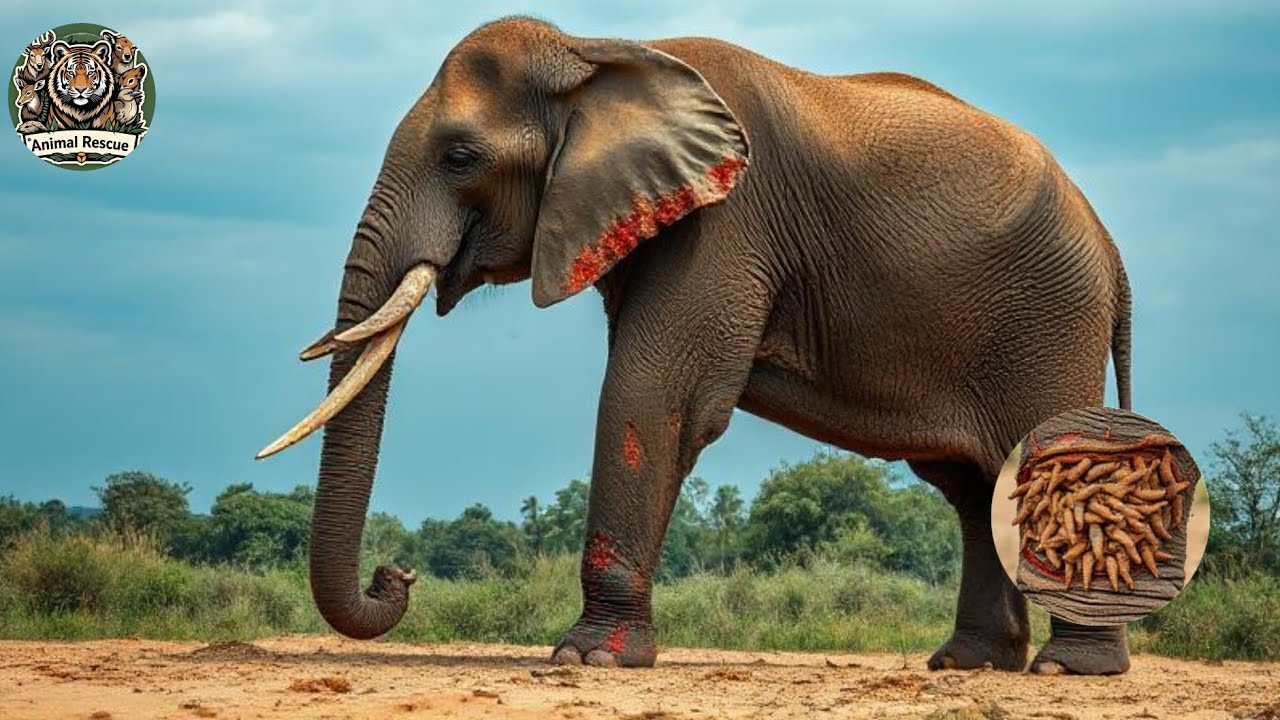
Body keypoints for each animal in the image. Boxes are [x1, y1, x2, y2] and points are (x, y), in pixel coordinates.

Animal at [259, 17, 1133, 674]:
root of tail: (1111, 246)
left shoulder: (728, 223)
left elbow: (653, 392)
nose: (397, 571)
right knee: (971, 485)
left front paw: (588, 660)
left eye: (460, 156)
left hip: (1050, 317)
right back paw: (970, 666)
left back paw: (1068, 670)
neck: (595, 51)